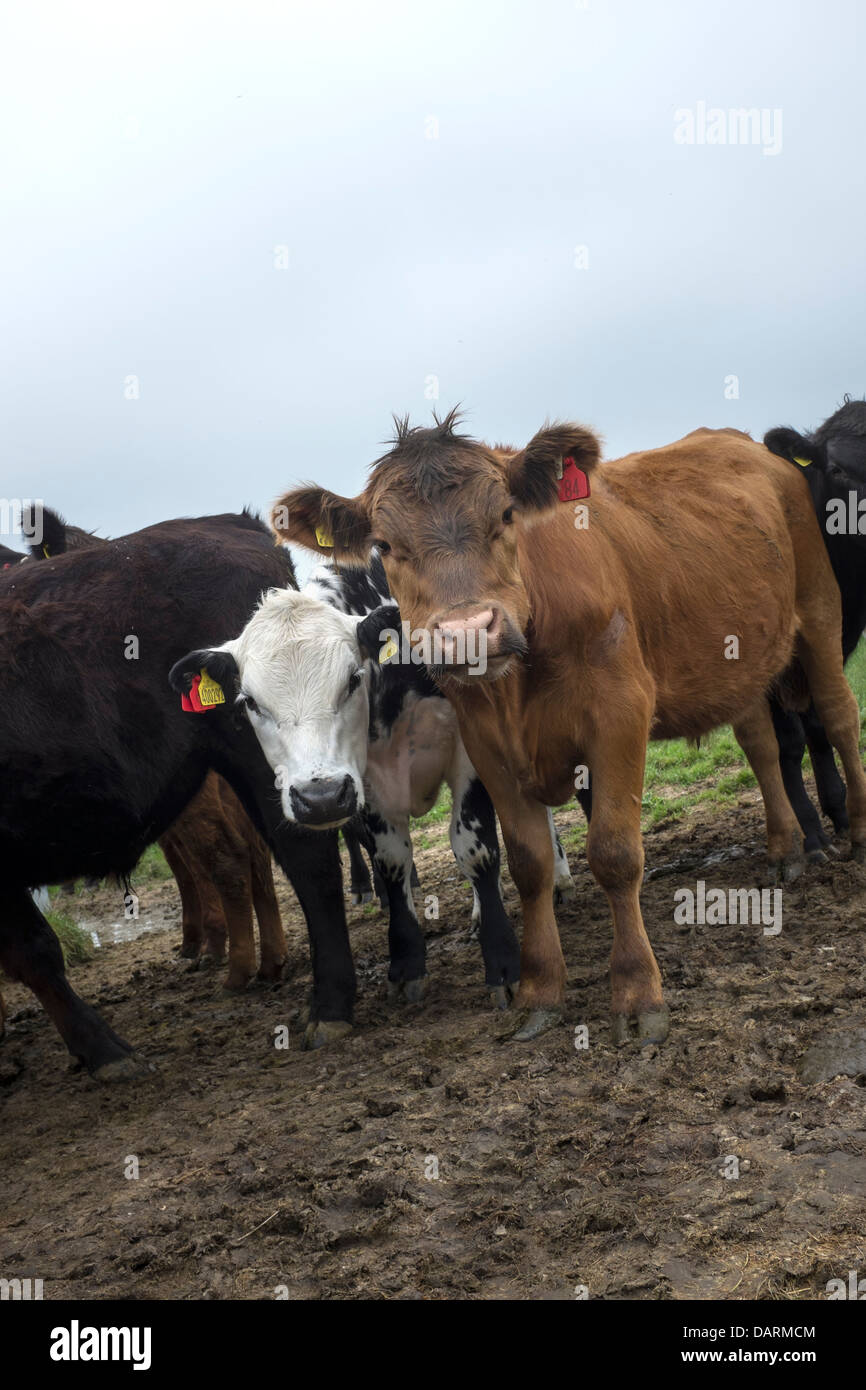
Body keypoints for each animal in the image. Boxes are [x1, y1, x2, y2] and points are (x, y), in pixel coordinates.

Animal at [270, 411, 866, 1045]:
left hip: (820, 613)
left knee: (838, 714)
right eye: (384, 545)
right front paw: (539, 991)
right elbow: (528, 865)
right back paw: (785, 849)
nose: (468, 632)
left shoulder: (620, 714)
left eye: (506, 515)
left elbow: (614, 853)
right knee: (761, 745)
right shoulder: (487, 746)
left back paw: (855, 830)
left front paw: (637, 991)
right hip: (738, 658)